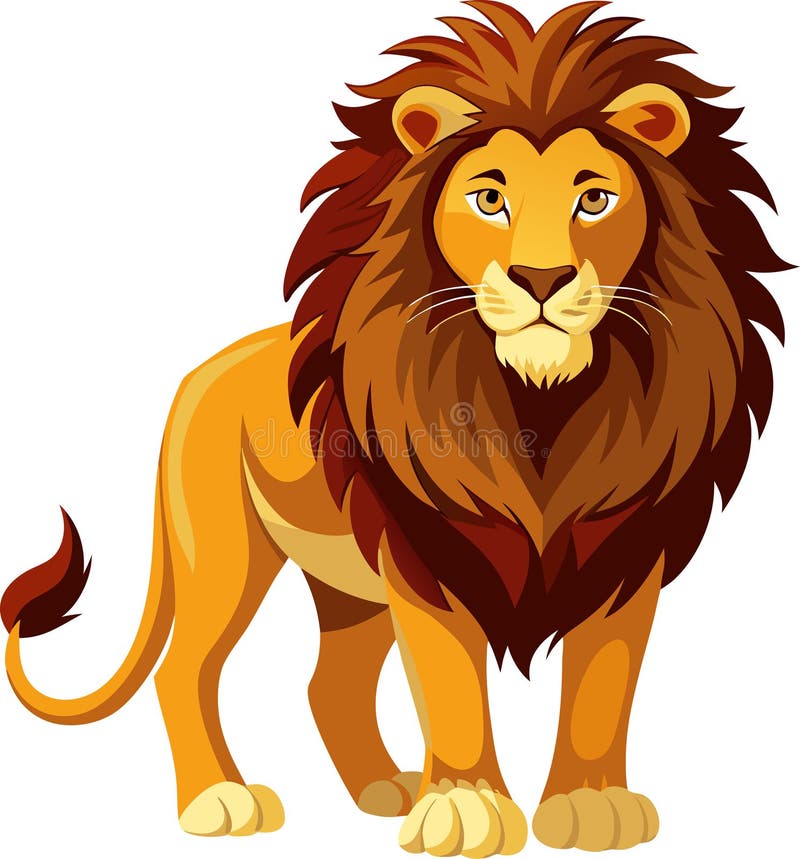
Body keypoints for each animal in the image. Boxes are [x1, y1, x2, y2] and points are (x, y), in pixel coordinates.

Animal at [1, 1, 788, 855]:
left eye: (595, 200)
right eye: (488, 199)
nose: (541, 279)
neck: (538, 399)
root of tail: (199, 375)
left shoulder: (624, 549)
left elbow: (601, 682)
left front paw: (590, 804)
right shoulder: (425, 557)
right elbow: (449, 685)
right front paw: (466, 805)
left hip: (351, 587)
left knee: (329, 683)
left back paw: (381, 787)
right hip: (228, 553)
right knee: (186, 670)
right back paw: (220, 798)